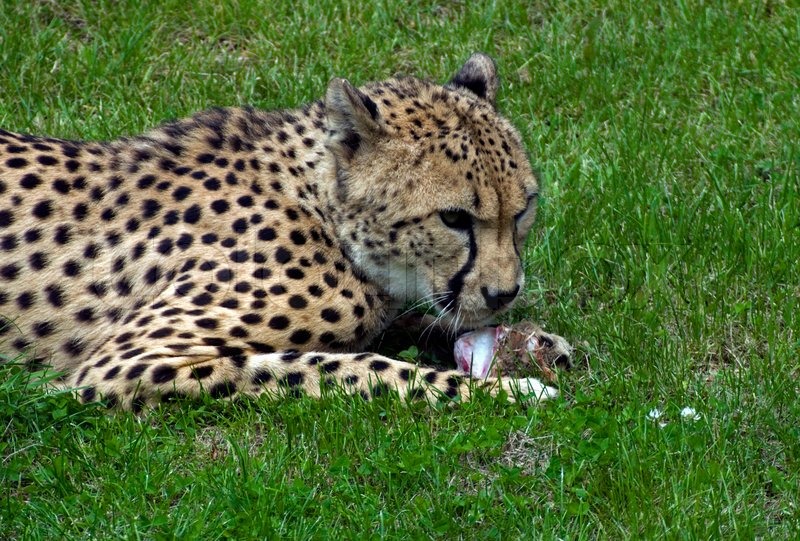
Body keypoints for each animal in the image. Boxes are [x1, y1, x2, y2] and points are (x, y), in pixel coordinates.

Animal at [0, 53, 566, 411]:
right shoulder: (125, 363)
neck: (320, 207)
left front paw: (537, 342)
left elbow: (409, 325)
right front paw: (507, 390)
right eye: (453, 218)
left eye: (523, 209)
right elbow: (350, 365)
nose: (504, 293)